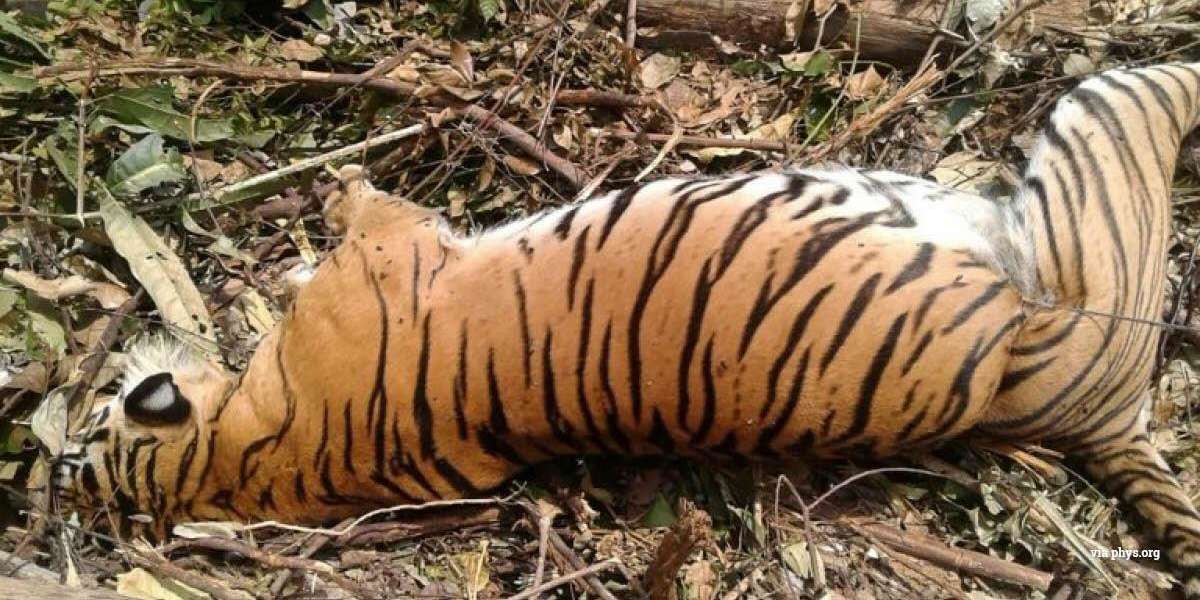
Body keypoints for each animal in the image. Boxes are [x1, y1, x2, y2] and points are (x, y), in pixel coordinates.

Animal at [56, 62, 1200, 593]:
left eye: (90, 425)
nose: (59, 459)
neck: (244, 457)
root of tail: (1093, 413)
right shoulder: (390, 253)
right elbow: (366, 211)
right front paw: (331, 200)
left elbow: (352, 211)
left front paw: (316, 211)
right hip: (1098, 144)